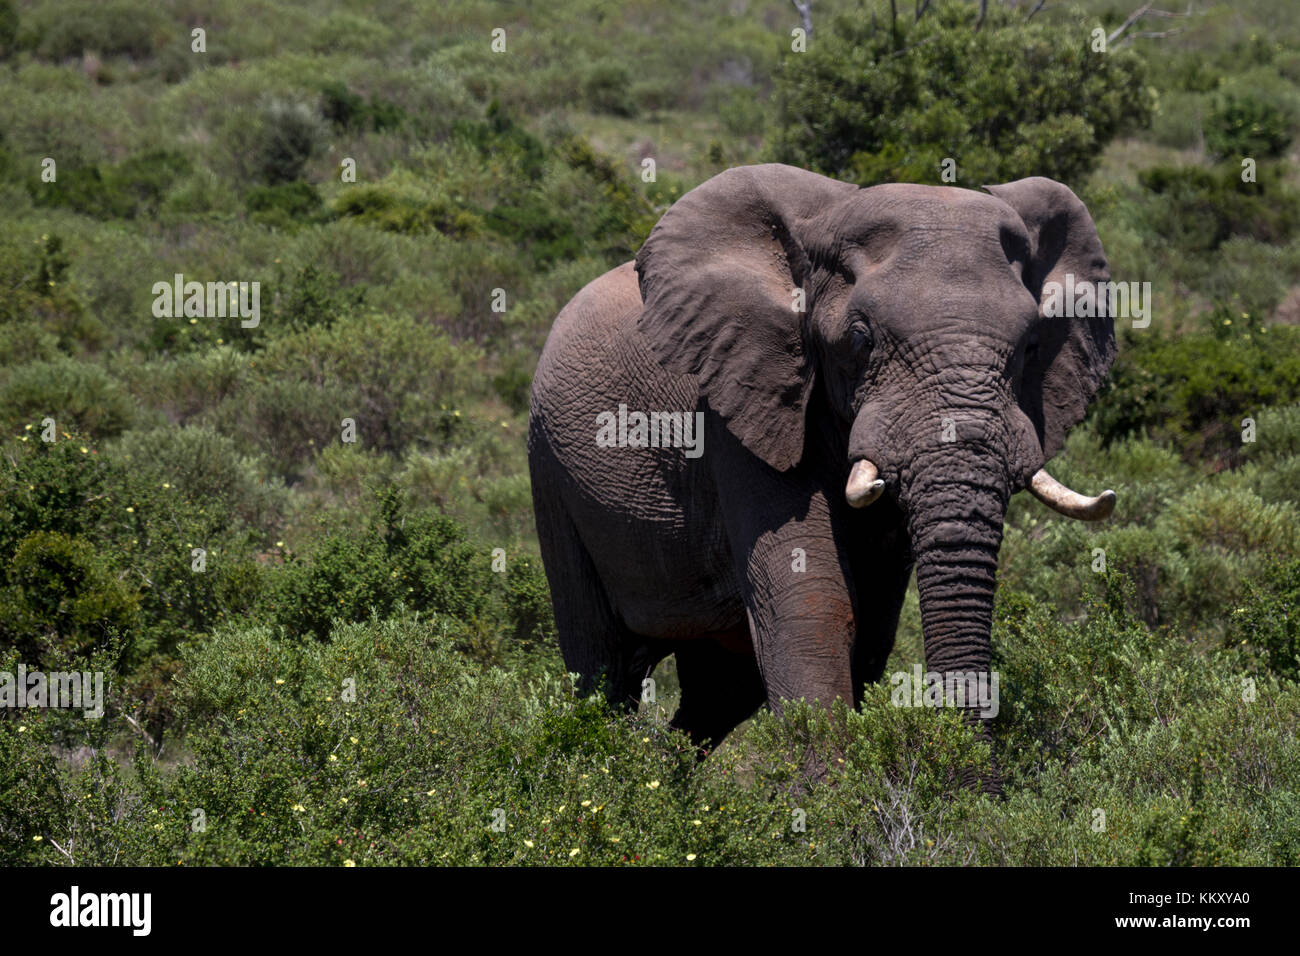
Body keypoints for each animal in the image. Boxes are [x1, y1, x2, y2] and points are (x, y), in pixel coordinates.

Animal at [527, 163, 1116, 763]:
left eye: (1031, 347)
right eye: (860, 339)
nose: (979, 781)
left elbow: (872, 620)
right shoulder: (736, 404)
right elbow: (816, 600)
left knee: (717, 695)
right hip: (549, 466)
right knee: (604, 666)